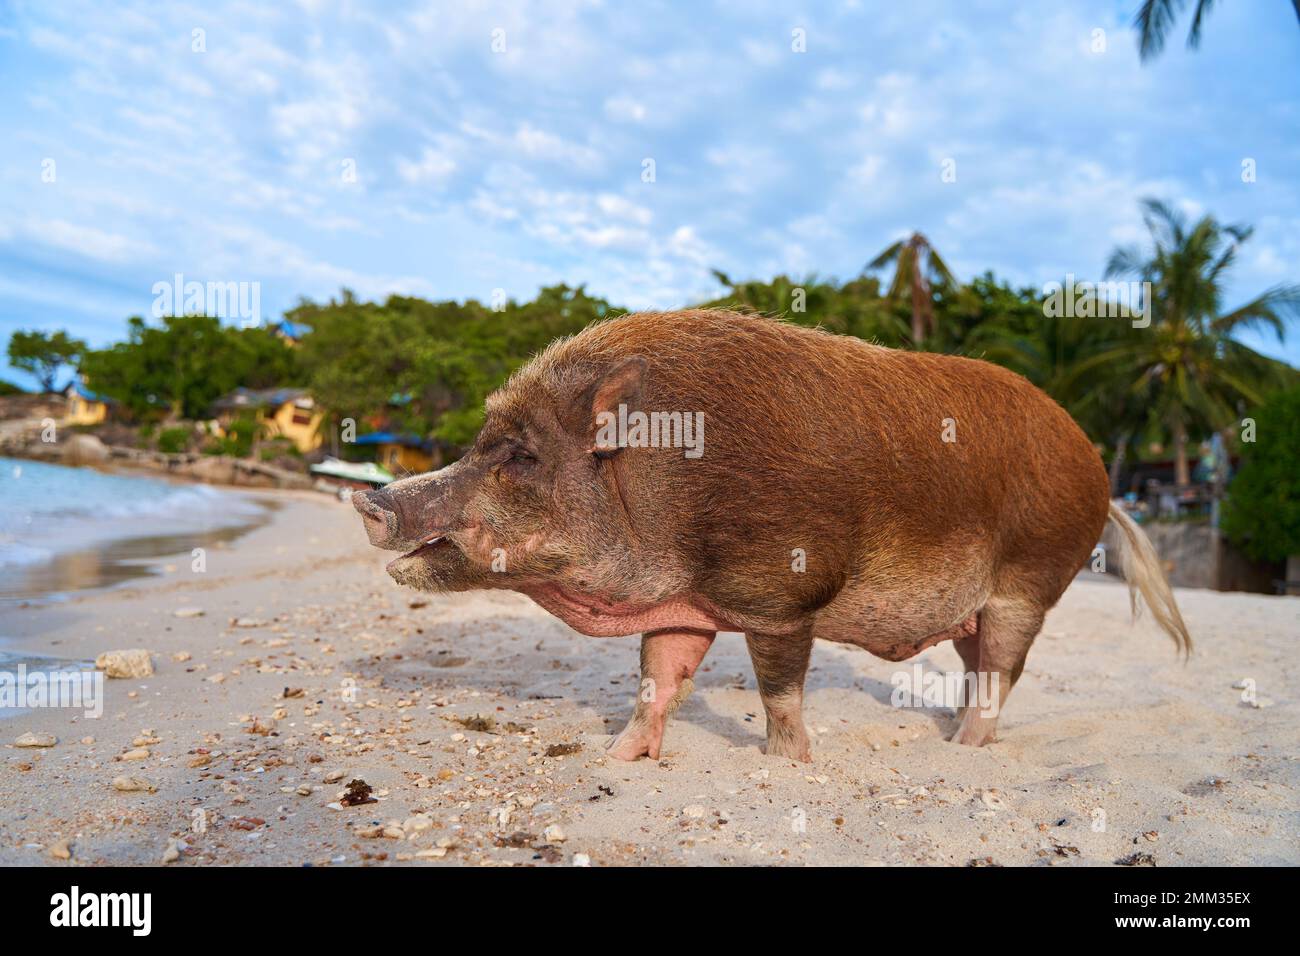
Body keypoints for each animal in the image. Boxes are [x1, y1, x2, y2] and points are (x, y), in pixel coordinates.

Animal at [353, 309, 1190, 762]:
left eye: (521, 456)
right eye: (481, 443)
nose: (372, 499)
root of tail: (1097, 467)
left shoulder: (781, 596)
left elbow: (779, 691)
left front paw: (794, 763)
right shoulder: (687, 605)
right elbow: (657, 682)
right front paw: (618, 760)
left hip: (1030, 579)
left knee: (1003, 673)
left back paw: (962, 750)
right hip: (972, 609)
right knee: (979, 665)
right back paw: (950, 734)